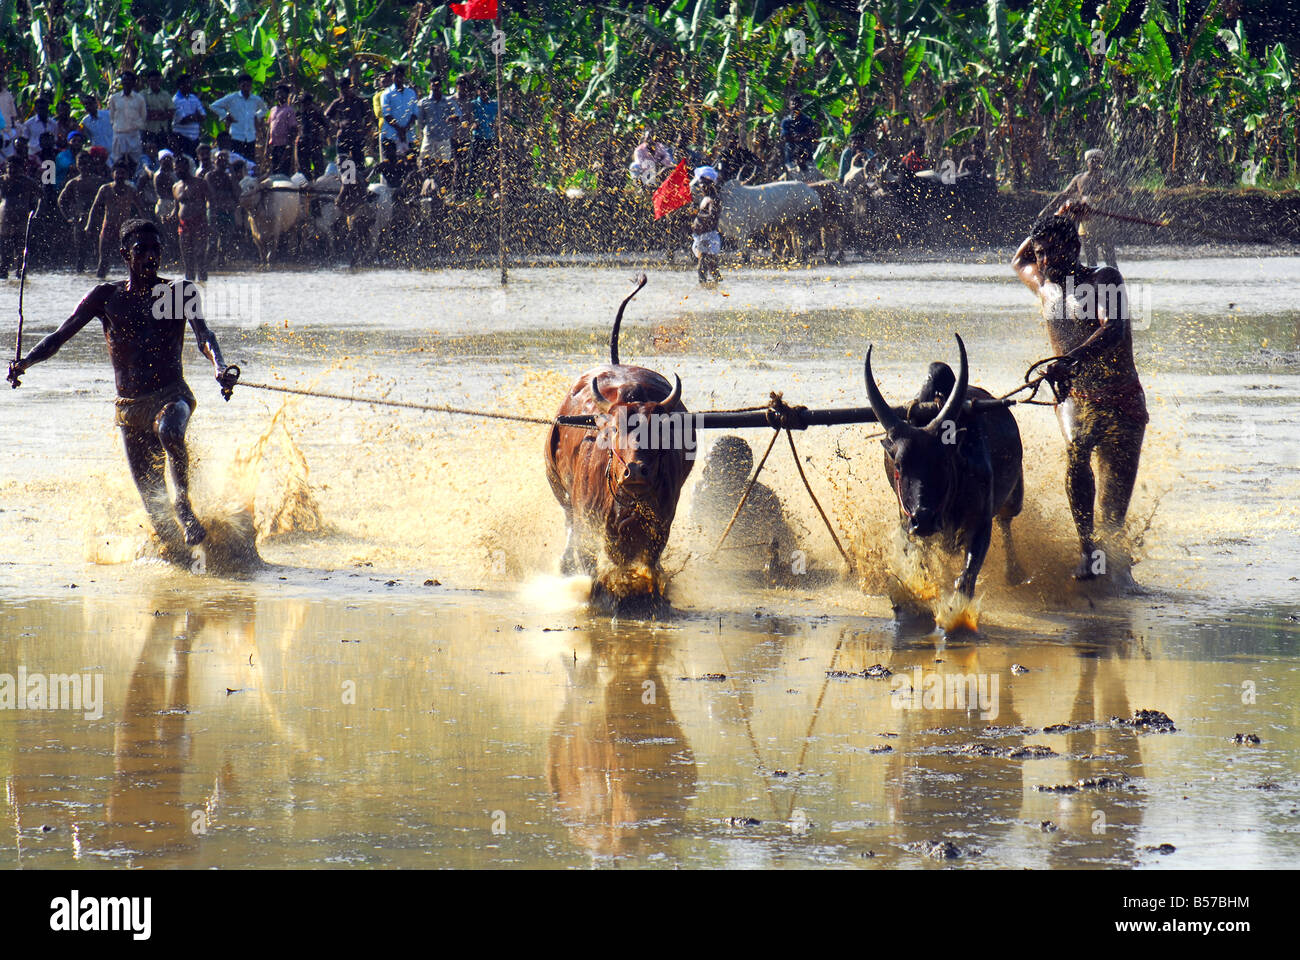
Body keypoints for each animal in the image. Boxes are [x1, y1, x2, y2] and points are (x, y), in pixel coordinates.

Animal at [544, 275, 695, 615]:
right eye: (613, 428)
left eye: (661, 429)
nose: (636, 471)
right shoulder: (589, 526)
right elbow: (591, 564)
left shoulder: (659, 527)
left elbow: (648, 563)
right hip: (560, 492)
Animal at [863, 334, 1026, 601]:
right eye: (898, 465)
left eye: (943, 461)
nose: (923, 519)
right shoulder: (907, 524)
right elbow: (923, 568)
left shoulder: (981, 523)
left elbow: (966, 579)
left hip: (1014, 499)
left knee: (1006, 521)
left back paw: (1015, 573)